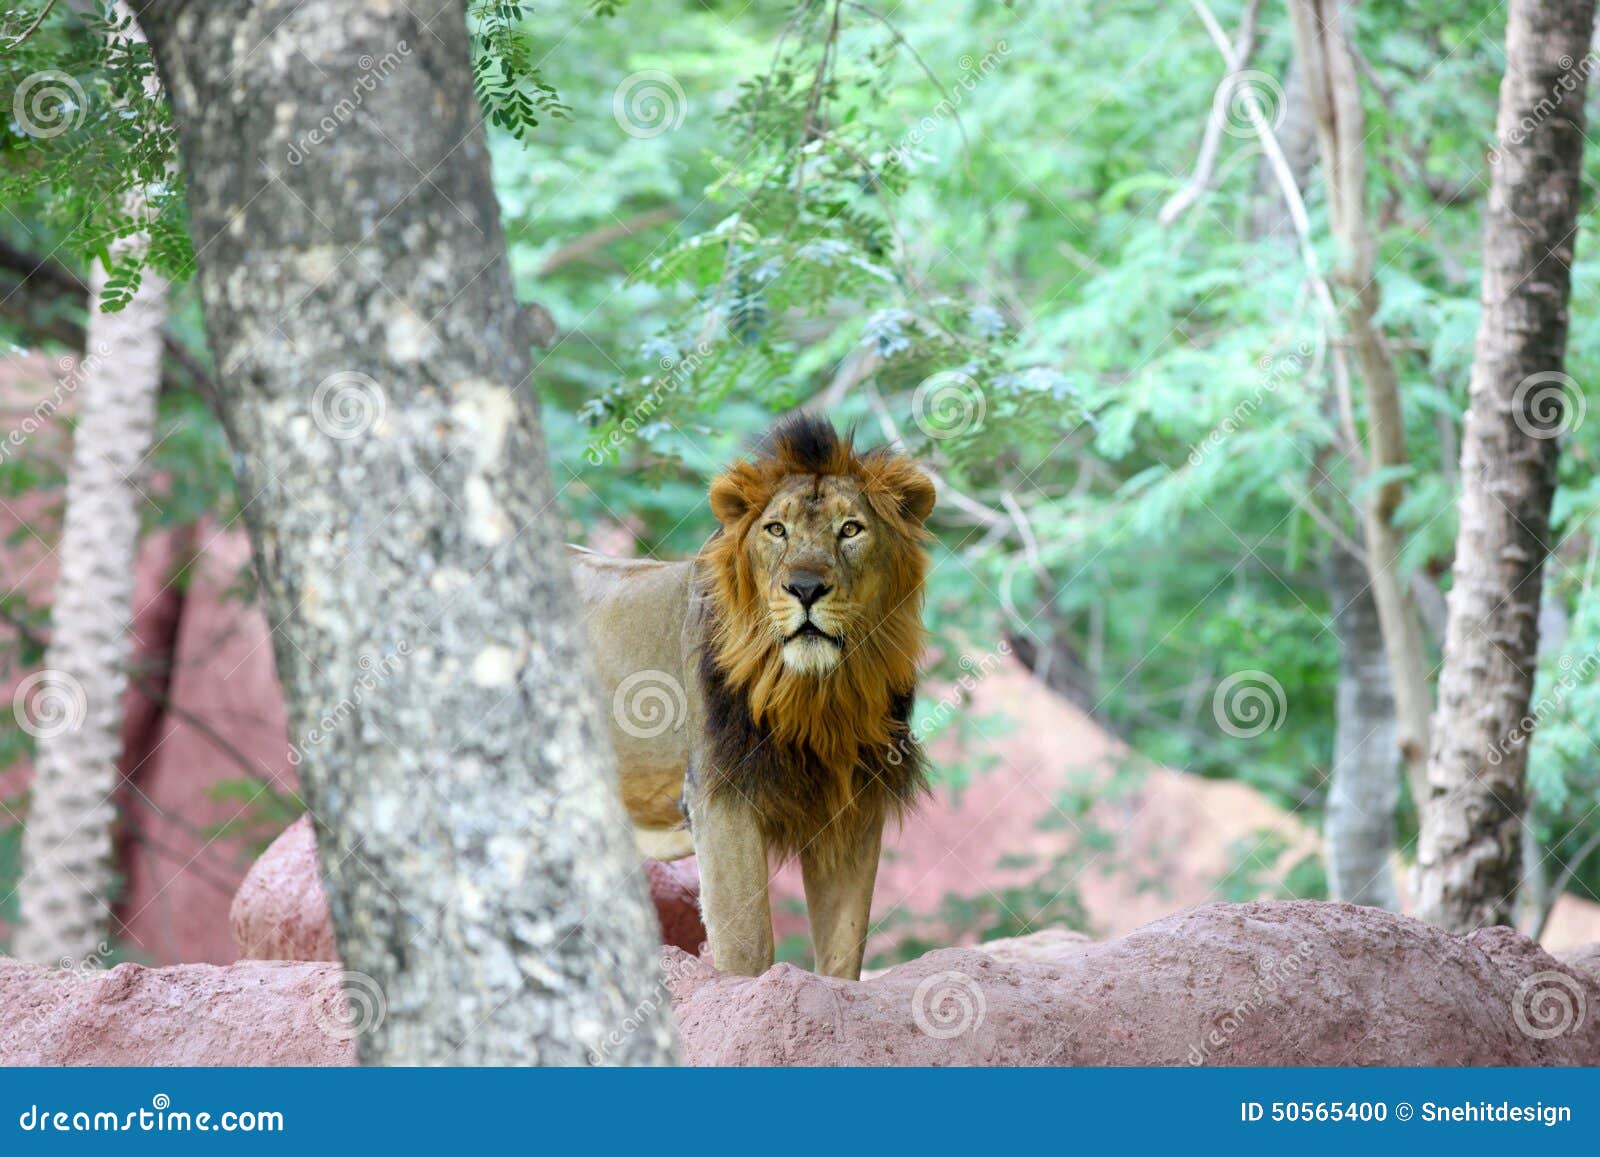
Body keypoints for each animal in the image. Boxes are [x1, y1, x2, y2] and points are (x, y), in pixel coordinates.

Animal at [571, 413, 936, 979]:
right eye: (776, 530)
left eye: (850, 529)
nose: (805, 589)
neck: (817, 693)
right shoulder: (717, 797)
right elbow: (746, 949)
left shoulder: (853, 804)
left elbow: (842, 955)